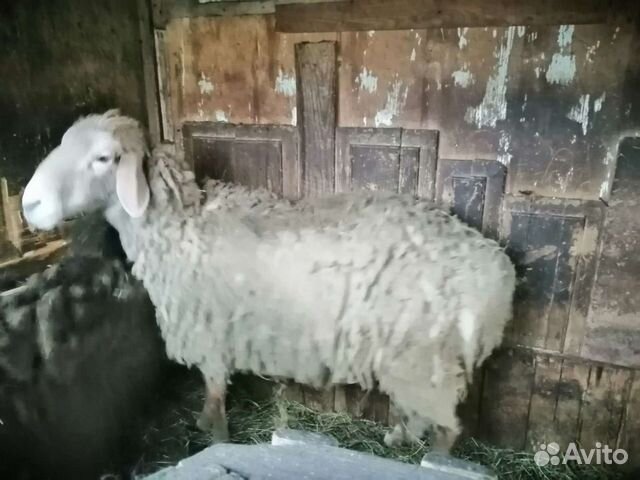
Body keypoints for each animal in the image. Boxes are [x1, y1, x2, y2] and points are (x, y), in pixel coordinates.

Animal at [21, 109, 517, 452]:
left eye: (103, 158)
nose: (29, 204)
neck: (179, 223)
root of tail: (497, 270)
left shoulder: (208, 333)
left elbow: (214, 390)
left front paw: (215, 433)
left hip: (427, 361)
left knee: (448, 430)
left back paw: (435, 461)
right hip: (418, 364)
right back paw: (399, 439)